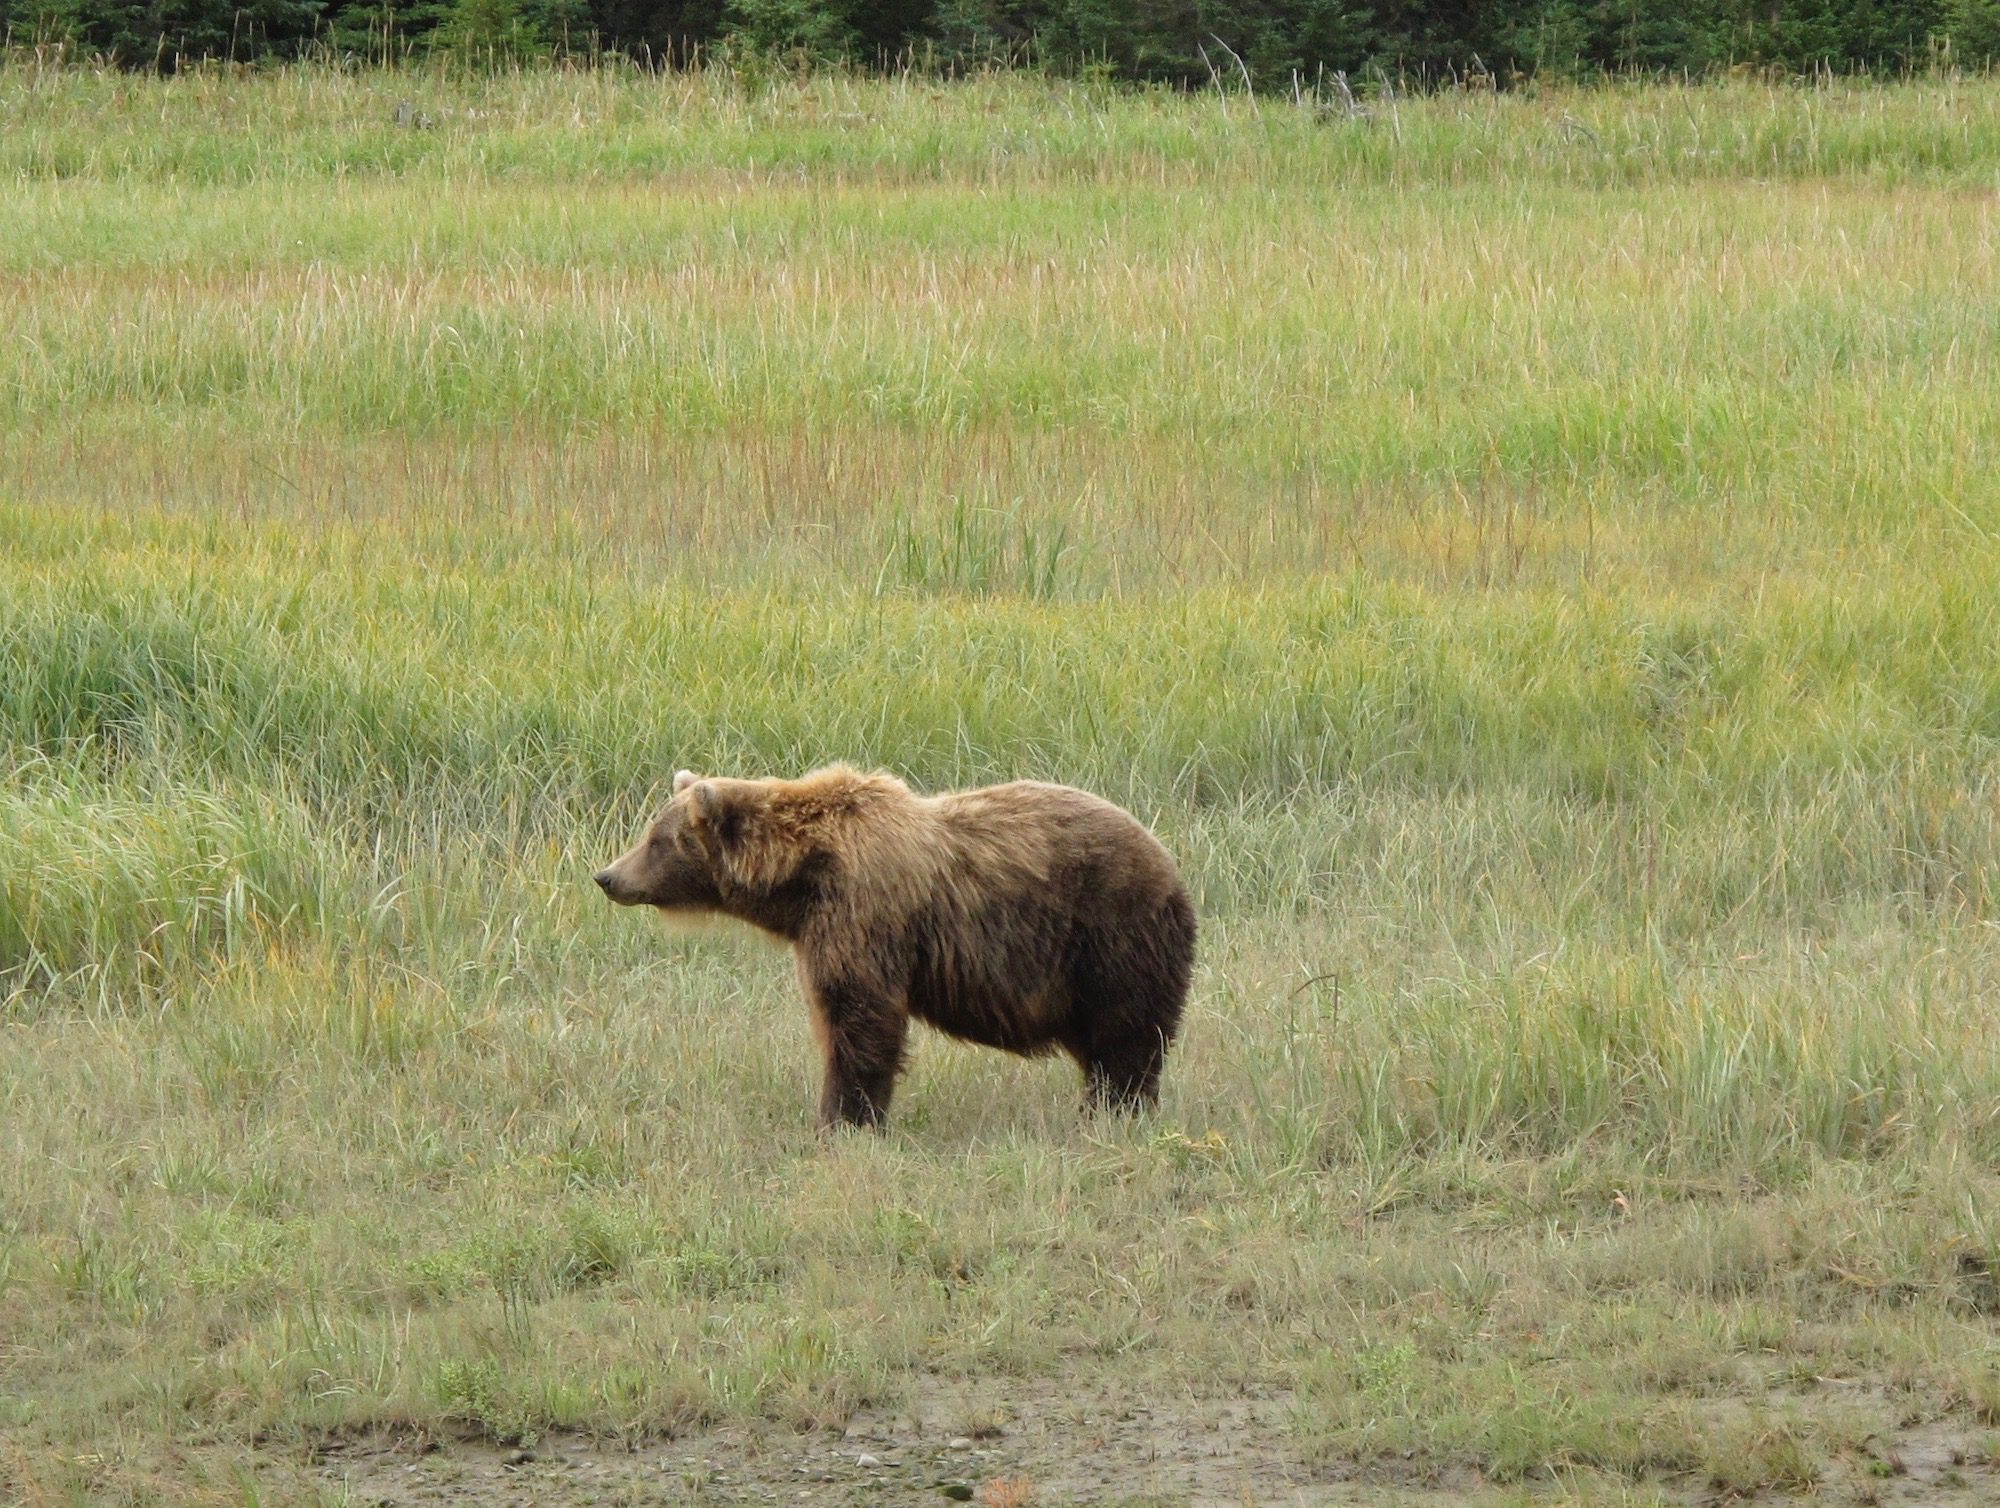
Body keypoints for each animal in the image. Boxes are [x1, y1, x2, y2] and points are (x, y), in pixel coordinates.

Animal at [594, 765, 1196, 1129]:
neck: (801, 879)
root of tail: (1170, 863)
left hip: (1110, 931)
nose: (607, 876)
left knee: (1126, 1033)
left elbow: (858, 1017)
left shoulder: (862, 913)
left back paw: (1116, 1110)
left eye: (657, 840)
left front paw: (843, 1119)